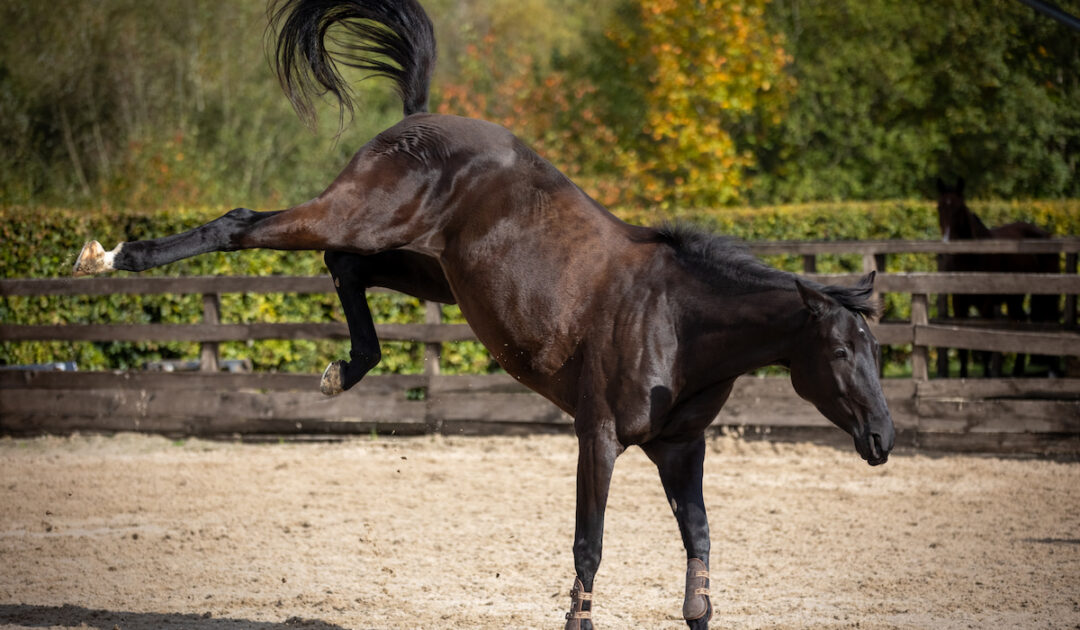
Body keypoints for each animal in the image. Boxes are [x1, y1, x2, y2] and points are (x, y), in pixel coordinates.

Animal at [71, 1, 895, 627]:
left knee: (345, 268)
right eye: (844, 351)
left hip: (426, 270)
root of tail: (421, 119)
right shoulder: (598, 438)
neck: (675, 323)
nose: (885, 438)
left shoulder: (678, 452)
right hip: (355, 214)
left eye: (875, 350)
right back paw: (111, 257)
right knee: (247, 224)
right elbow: (589, 545)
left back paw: (347, 370)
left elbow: (700, 546)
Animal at [936, 178, 1060, 377]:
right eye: (939, 207)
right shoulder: (958, 302)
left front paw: (987, 377)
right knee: (1019, 322)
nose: (947, 246)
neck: (970, 260)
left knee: (1051, 321)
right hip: (1014, 298)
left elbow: (985, 344)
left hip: (1046, 293)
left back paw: (1051, 372)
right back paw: (1017, 371)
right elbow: (961, 345)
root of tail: (1045, 233)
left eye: (959, 208)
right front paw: (962, 376)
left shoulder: (987, 303)